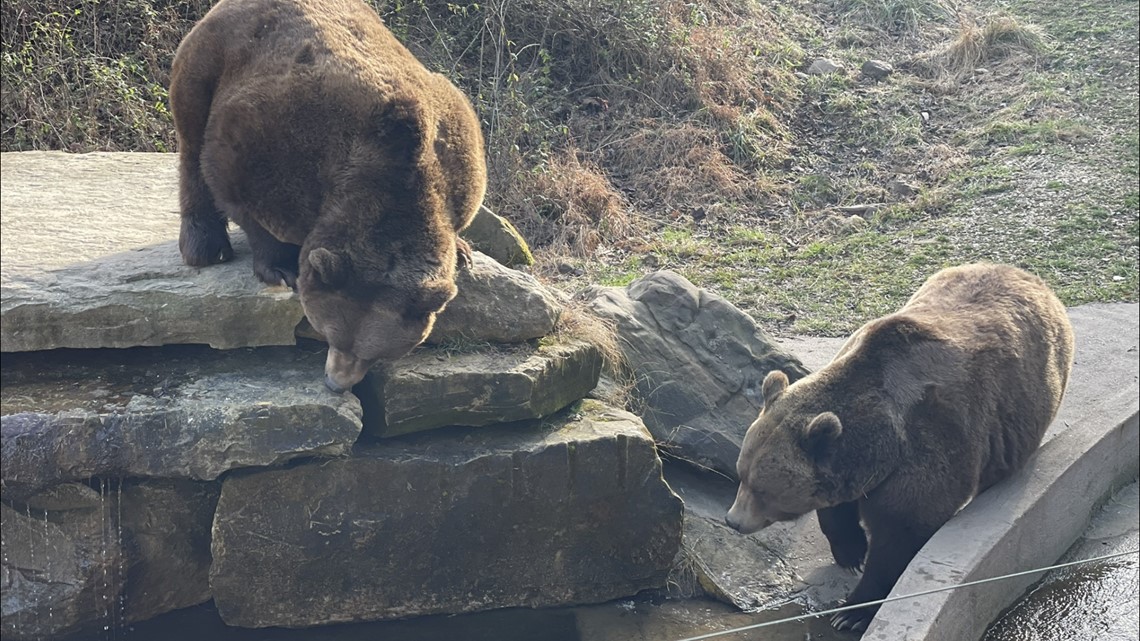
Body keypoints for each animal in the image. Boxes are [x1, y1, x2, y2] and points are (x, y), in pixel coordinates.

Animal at [169, 0, 487, 392]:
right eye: (331, 334)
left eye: (373, 354)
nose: (337, 383)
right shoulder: (275, 144)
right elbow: (237, 189)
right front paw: (282, 268)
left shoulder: (459, 162)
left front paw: (463, 251)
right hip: (209, 61)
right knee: (192, 138)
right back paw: (205, 247)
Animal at [725, 263, 1075, 633]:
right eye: (741, 475)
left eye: (763, 489)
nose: (733, 521)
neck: (881, 441)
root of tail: (1023, 274)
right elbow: (837, 508)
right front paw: (851, 552)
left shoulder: (928, 442)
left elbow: (901, 532)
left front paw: (851, 612)